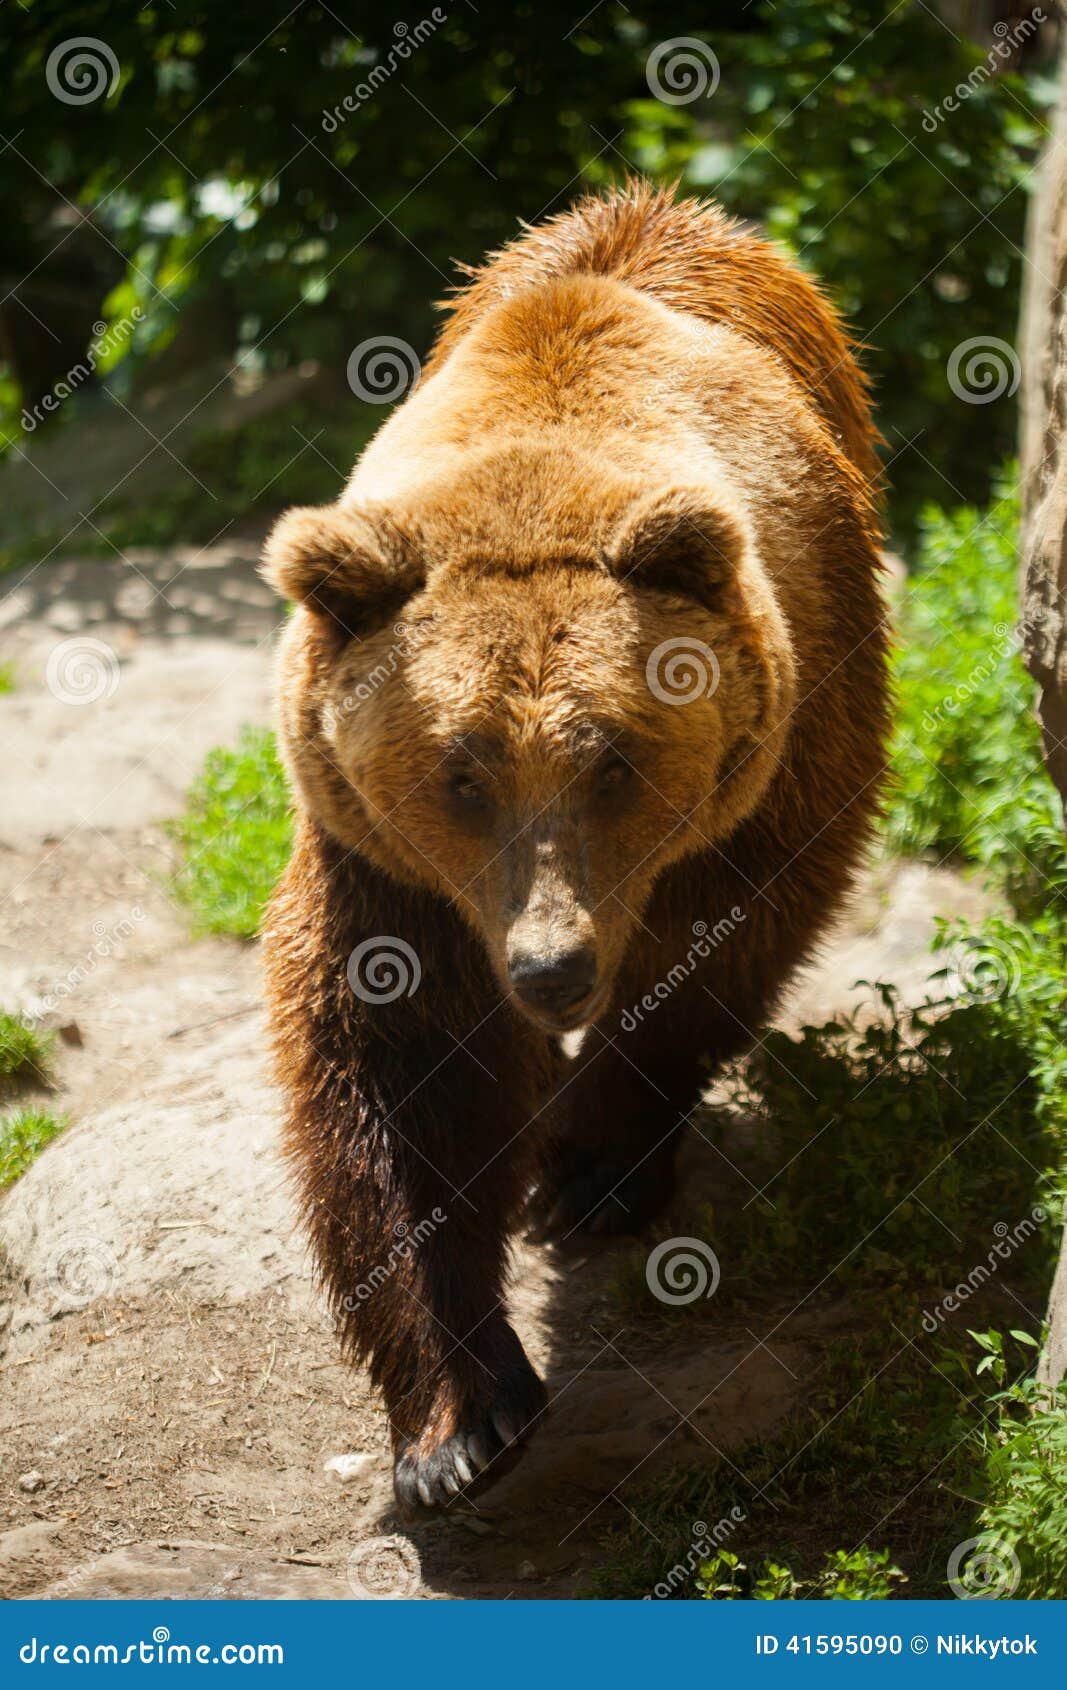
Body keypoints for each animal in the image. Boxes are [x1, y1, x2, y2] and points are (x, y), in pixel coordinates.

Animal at [260, 181, 889, 1513]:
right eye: (458, 773)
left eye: (612, 762)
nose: (552, 969)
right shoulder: (383, 860)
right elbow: (399, 1061)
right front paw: (458, 1424)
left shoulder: (782, 741)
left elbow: (721, 942)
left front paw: (590, 1171)